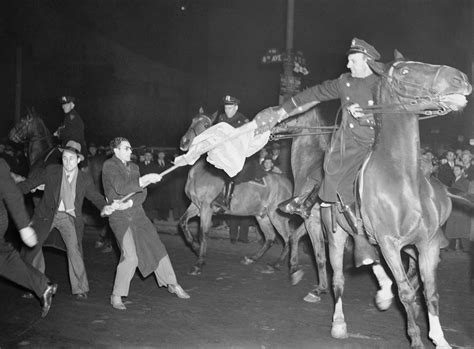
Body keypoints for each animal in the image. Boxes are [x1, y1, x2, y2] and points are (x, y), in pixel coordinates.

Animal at [181, 114, 294, 274]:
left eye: (206, 125)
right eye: (192, 120)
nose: (184, 142)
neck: (203, 171)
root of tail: (287, 183)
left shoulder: (206, 208)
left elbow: (202, 234)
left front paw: (199, 263)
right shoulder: (195, 205)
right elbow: (183, 223)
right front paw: (196, 248)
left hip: (276, 216)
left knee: (288, 238)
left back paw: (276, 264)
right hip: (262, 215)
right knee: (270, 237)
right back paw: (252, 258)